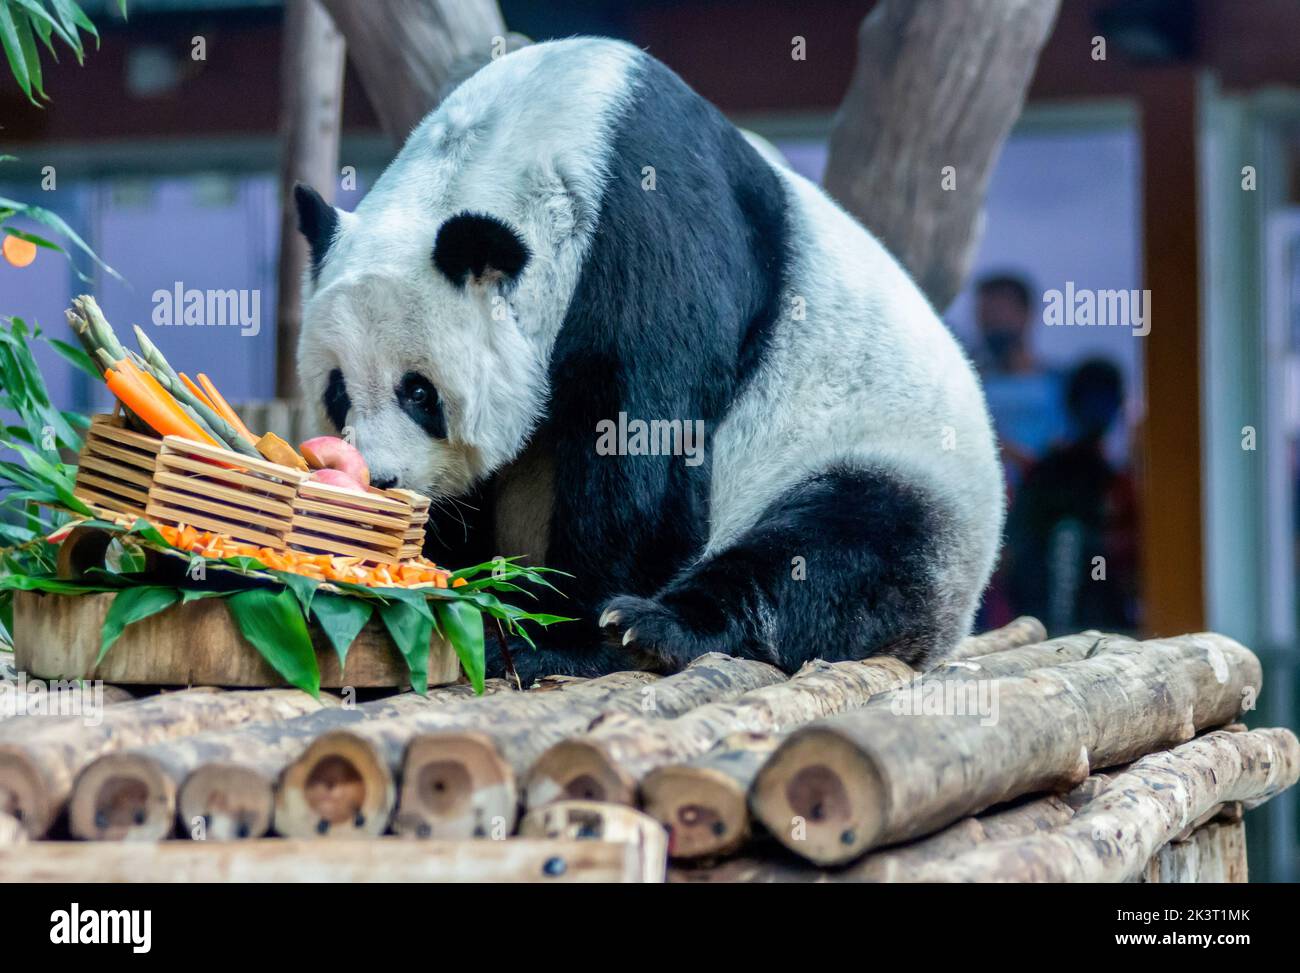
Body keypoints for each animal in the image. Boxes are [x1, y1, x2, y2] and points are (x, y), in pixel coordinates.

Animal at [293, 37, 1005, 682]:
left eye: (420, 392)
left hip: (892, 462)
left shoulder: (648, 234)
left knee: (836, 551)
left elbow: (640, 449)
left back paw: (656, 627)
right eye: (337, 392)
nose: (385, 478)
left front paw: (562, 635)